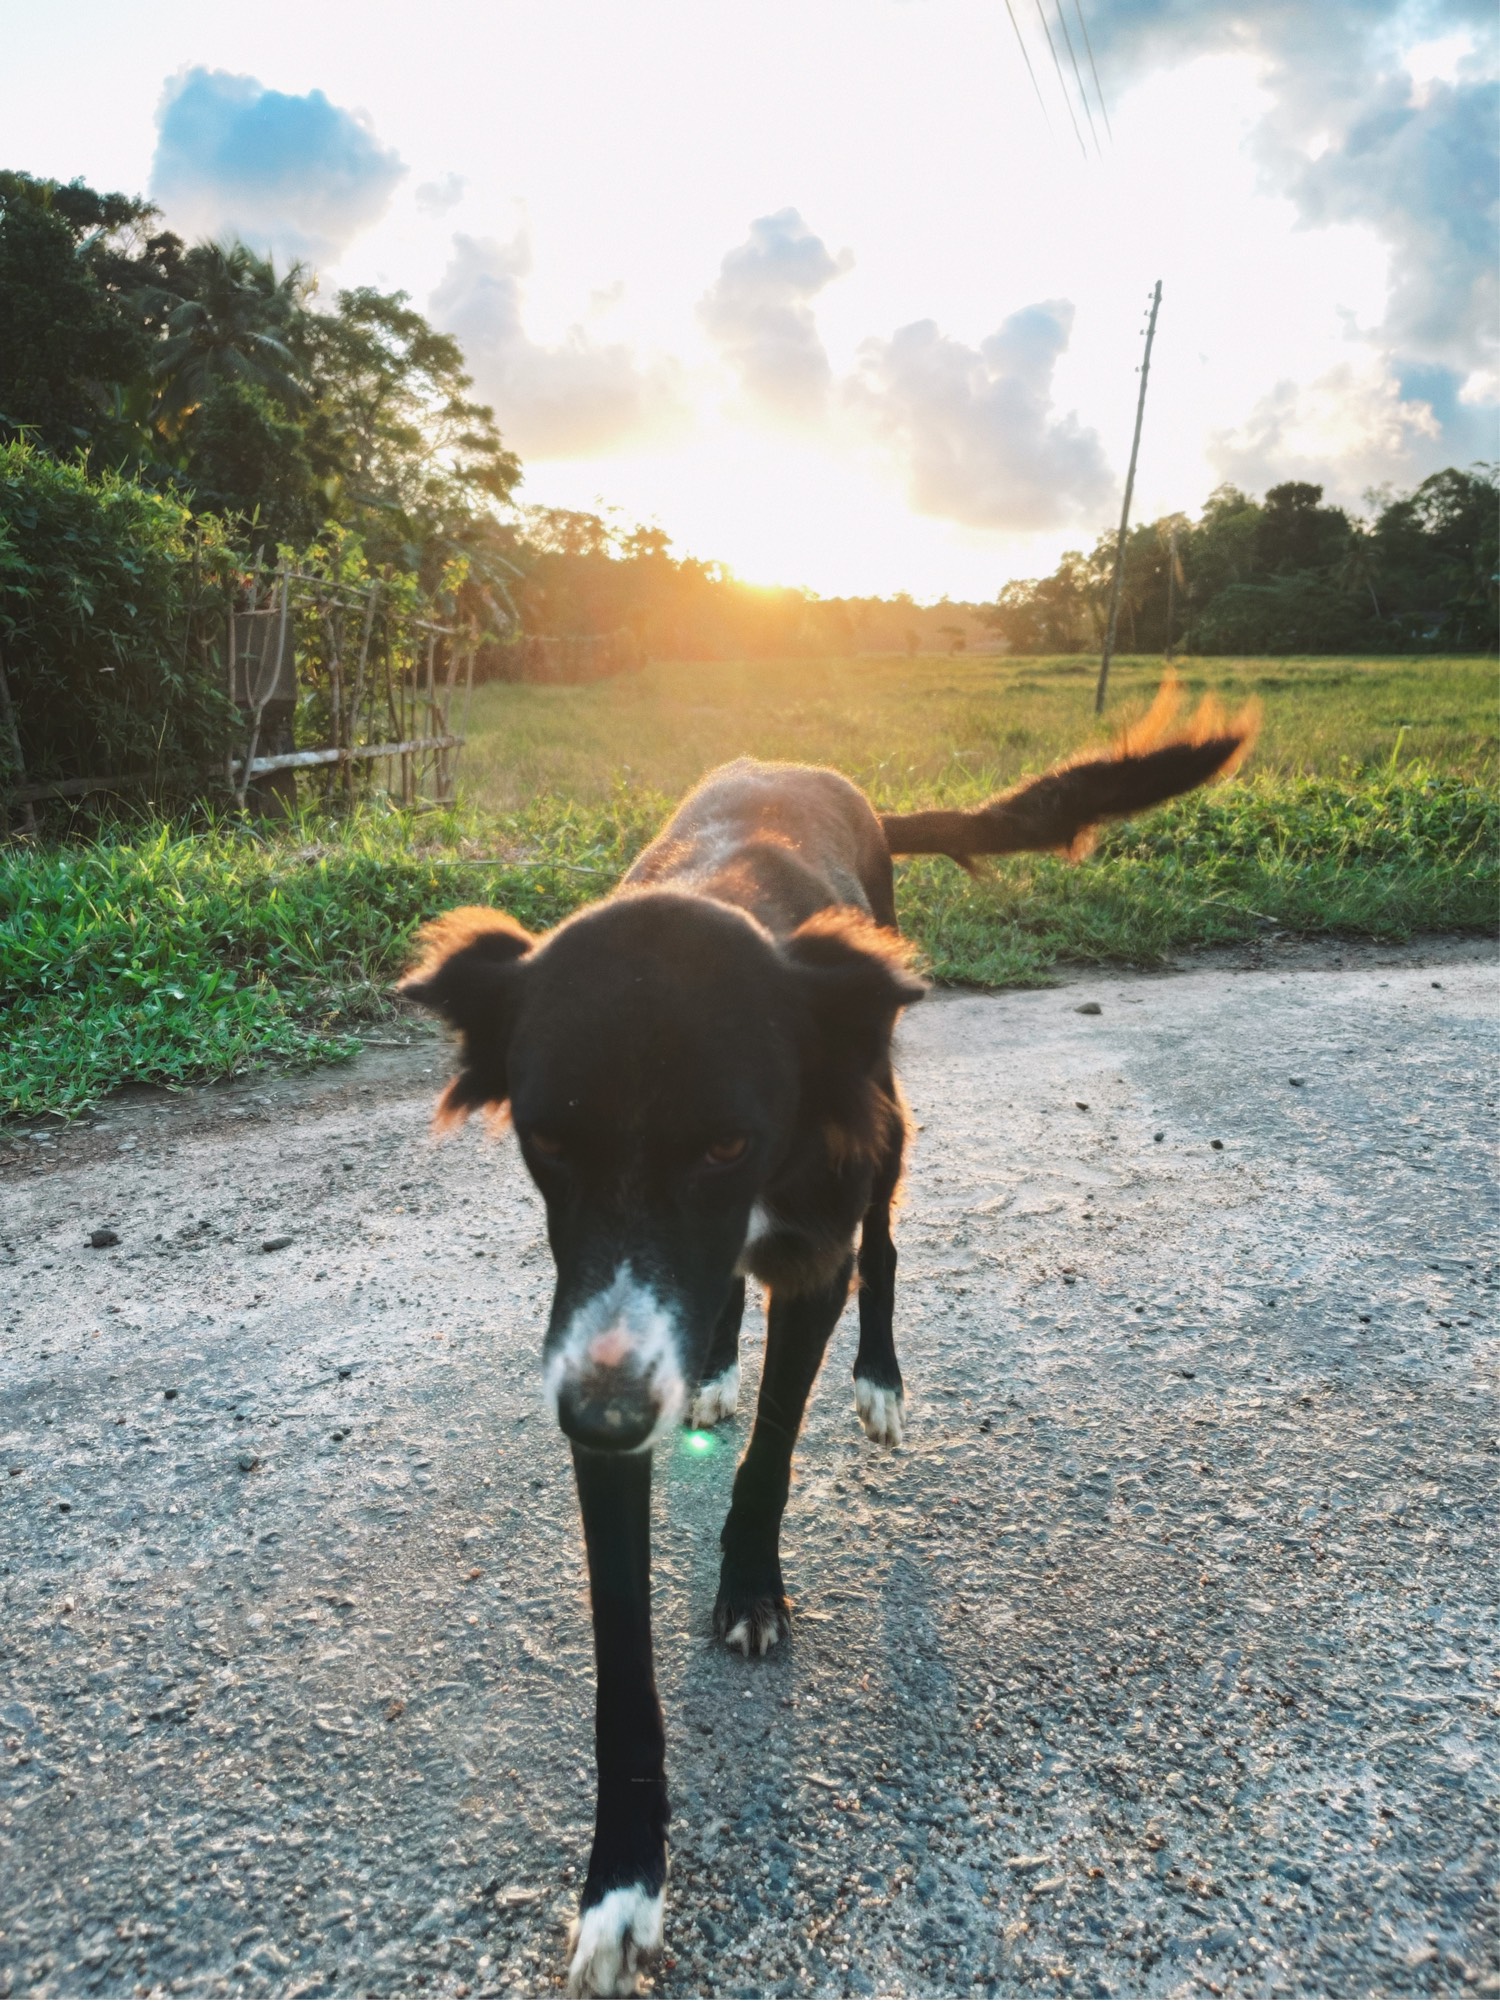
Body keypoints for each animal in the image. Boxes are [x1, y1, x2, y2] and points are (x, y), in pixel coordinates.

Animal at [400, 680, 1256, 1992]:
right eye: (546, 1138)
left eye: (725, 1143)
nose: (603, 1416)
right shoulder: (600, 1337)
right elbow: (621, 1660)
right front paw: (622, 1878)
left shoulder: (811, 1259)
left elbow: (770, 1456)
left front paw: (751, 1585)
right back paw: (710, 1366)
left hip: (884, 1120)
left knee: (889, 1253)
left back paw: (879, 1380)